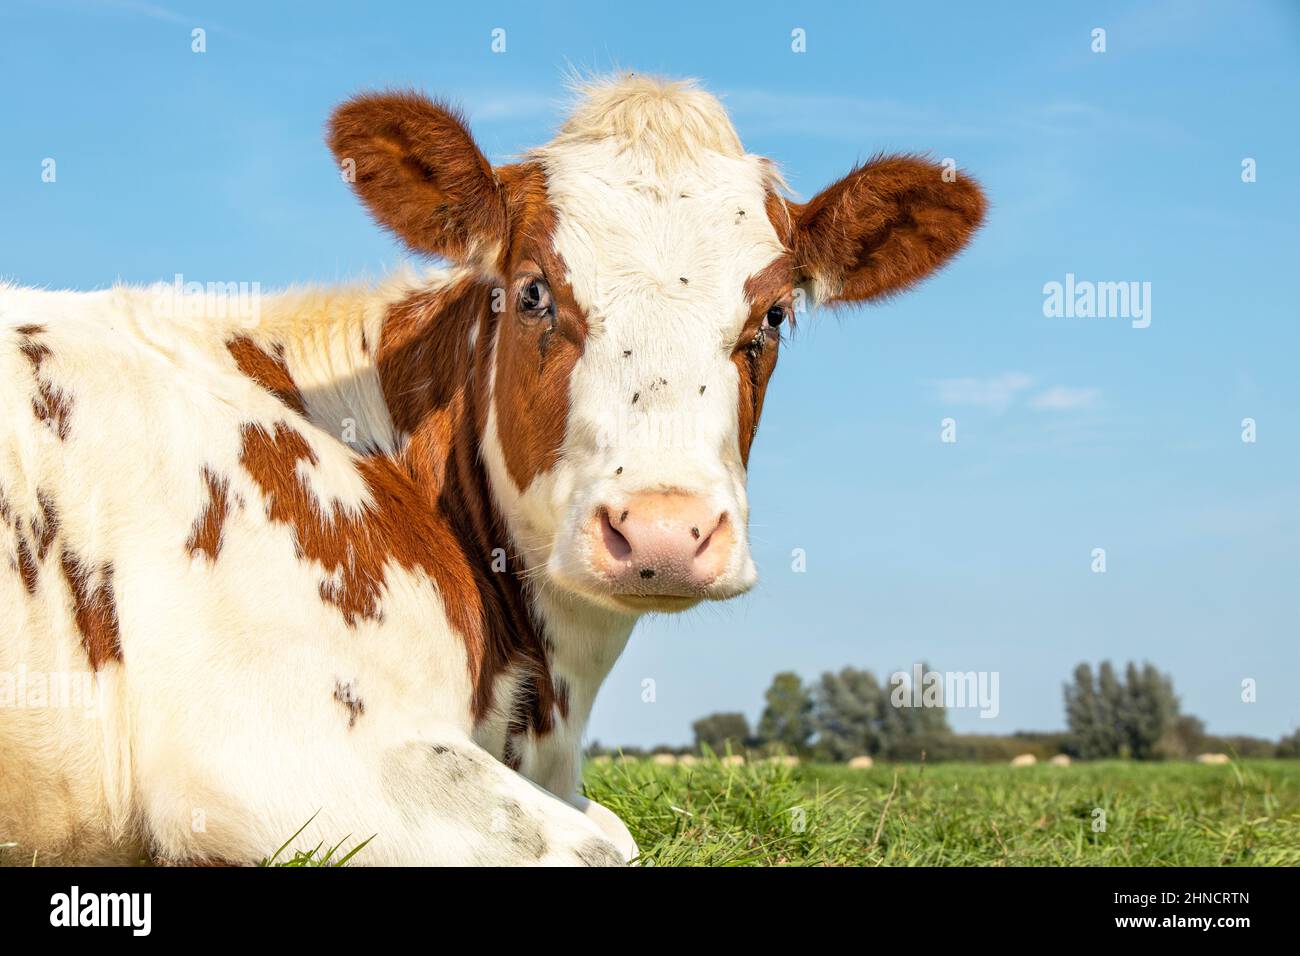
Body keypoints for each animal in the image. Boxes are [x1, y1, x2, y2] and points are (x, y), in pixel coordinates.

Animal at [0, 74, 984, 865]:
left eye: (775, 314)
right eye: (534, 290)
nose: (664, 532)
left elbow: (614, 829)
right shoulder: (265, 752)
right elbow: (595, 849)